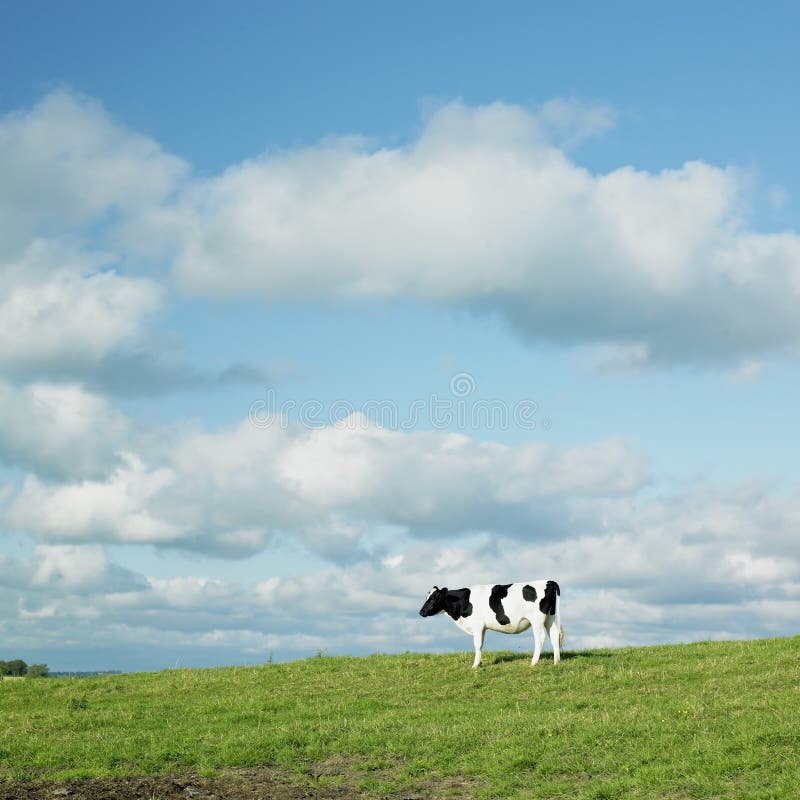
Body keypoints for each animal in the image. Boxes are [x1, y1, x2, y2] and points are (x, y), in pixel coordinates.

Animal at [419, 580, 563, 668]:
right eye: (427, 597)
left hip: (537, 619)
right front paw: (479, 663)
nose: (421, 612)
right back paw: (556, 661)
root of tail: (548, 581)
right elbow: (481, 645)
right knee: (554, 635)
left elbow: (477, 645)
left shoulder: (477, 625)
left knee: (540, 638)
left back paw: (533, 663)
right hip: (550, 617)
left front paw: (475, 665)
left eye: (434, 598)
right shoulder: (482, 628)